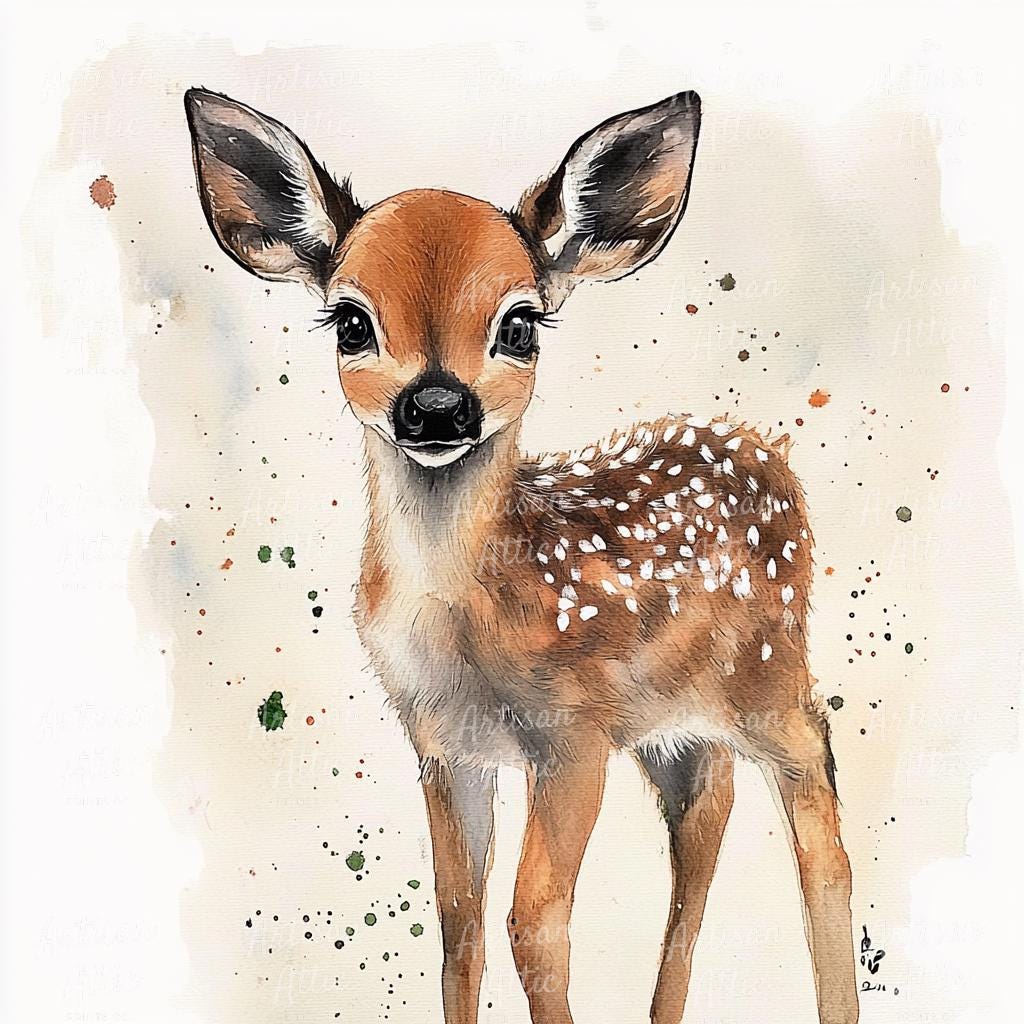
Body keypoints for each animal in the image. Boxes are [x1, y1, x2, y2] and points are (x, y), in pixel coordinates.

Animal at [185, 87, 859, 1024]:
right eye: (351, 321)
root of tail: (770, 451)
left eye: (520, 324)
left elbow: (532, 921)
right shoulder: (446, 746)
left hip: (769, 676)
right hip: (670, 722)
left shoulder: (571, 731)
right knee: (705, 817)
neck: (471, 624)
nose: (437, 406)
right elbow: (459, 924)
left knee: (818, 811)